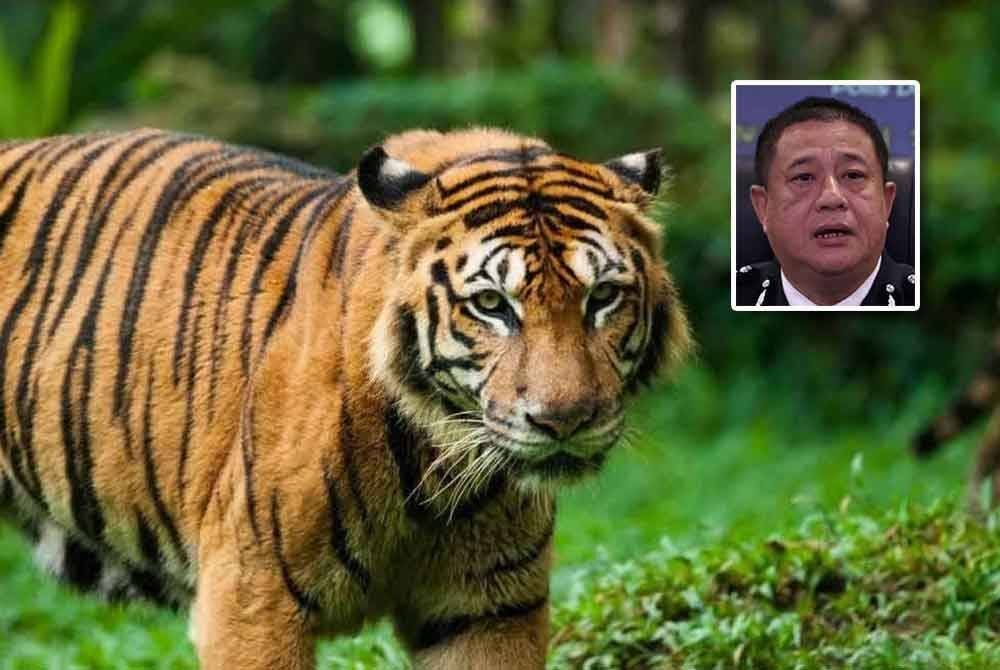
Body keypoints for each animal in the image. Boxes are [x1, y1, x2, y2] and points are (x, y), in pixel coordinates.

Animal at [0, 127, 691, 669]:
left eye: (603, 297)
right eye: (493, 305)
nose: (565, 420)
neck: (438, 465)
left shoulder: (491, 609)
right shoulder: (252, 597)